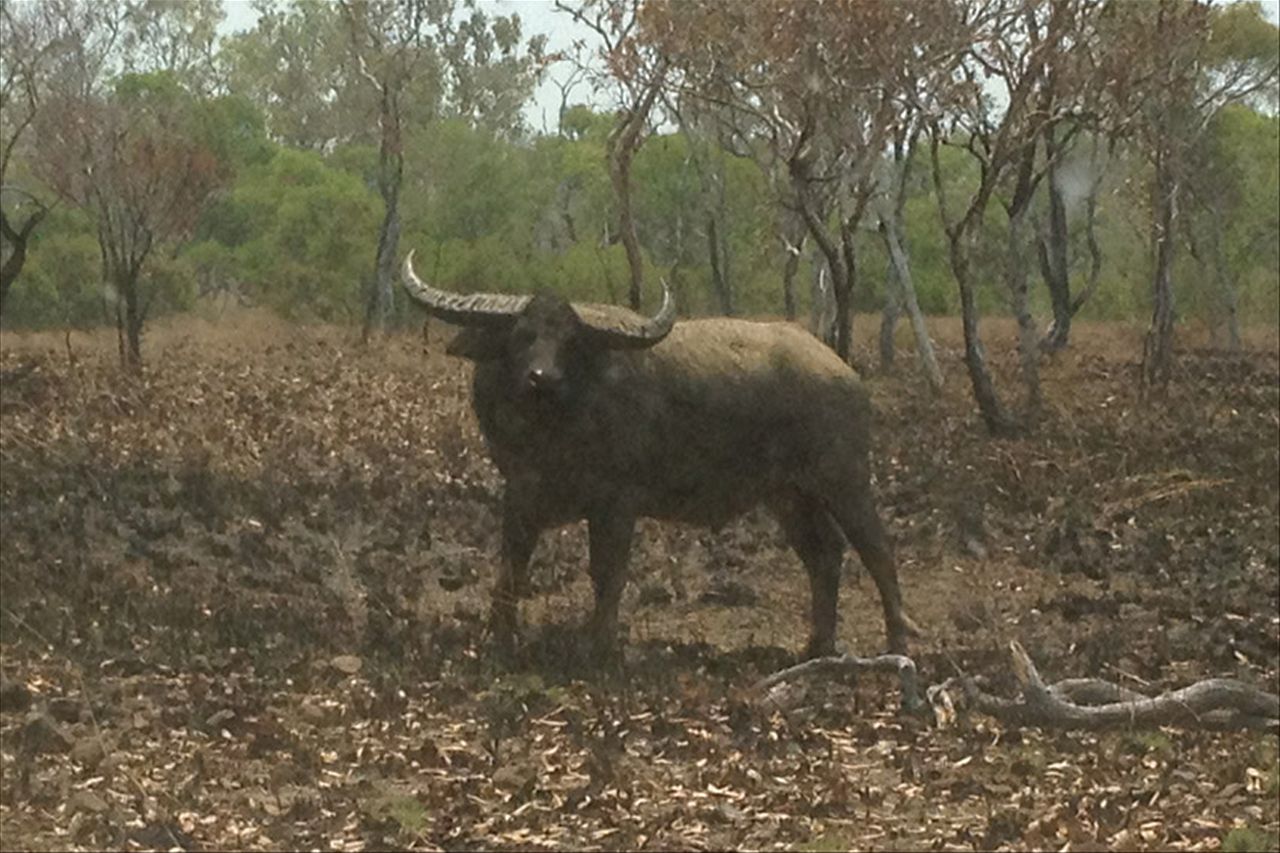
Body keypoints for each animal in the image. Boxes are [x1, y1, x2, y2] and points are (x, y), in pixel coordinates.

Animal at [403, 251, 916, 661]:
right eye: (521, 336)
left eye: (571, 341)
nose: (542, 378)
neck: (554, 435)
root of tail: (843, 372)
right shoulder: (520, 495)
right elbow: (511, 568)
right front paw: (500, 643)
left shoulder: (616, 504)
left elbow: (607, 573)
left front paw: (600, 648)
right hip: (789, 496)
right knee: (824, 553)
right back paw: (818, 645)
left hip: (844, 480)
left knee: (877, 550)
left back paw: (897, 644)